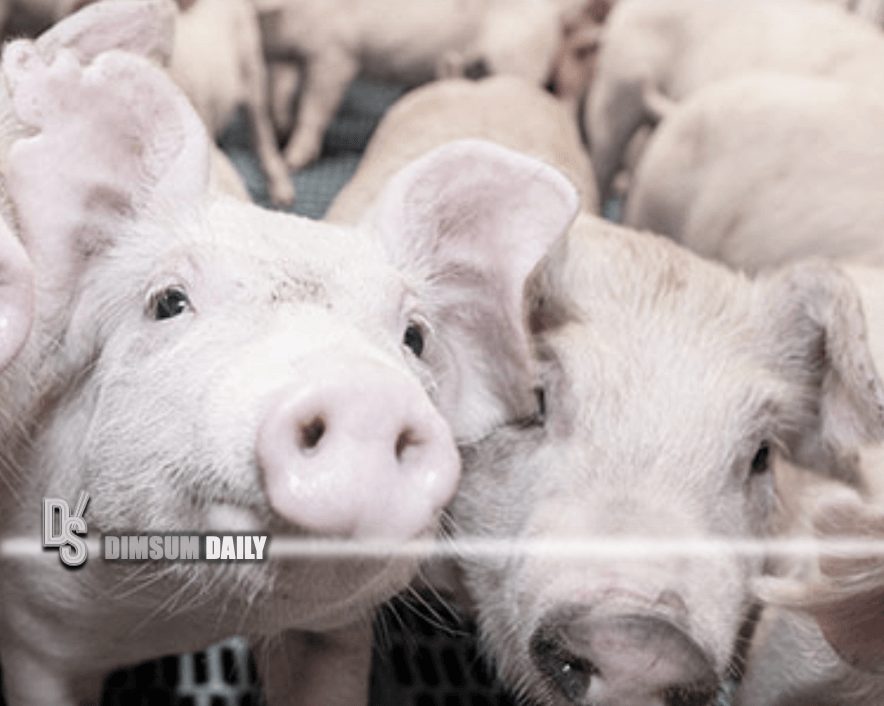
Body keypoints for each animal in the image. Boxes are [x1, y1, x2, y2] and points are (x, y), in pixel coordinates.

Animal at [255, 0, 561, 174]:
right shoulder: (288, 58)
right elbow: (280, 89)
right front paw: (281, 130)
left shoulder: (336, 54)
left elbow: (314, 108)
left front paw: (292, 162)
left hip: (519, 55)